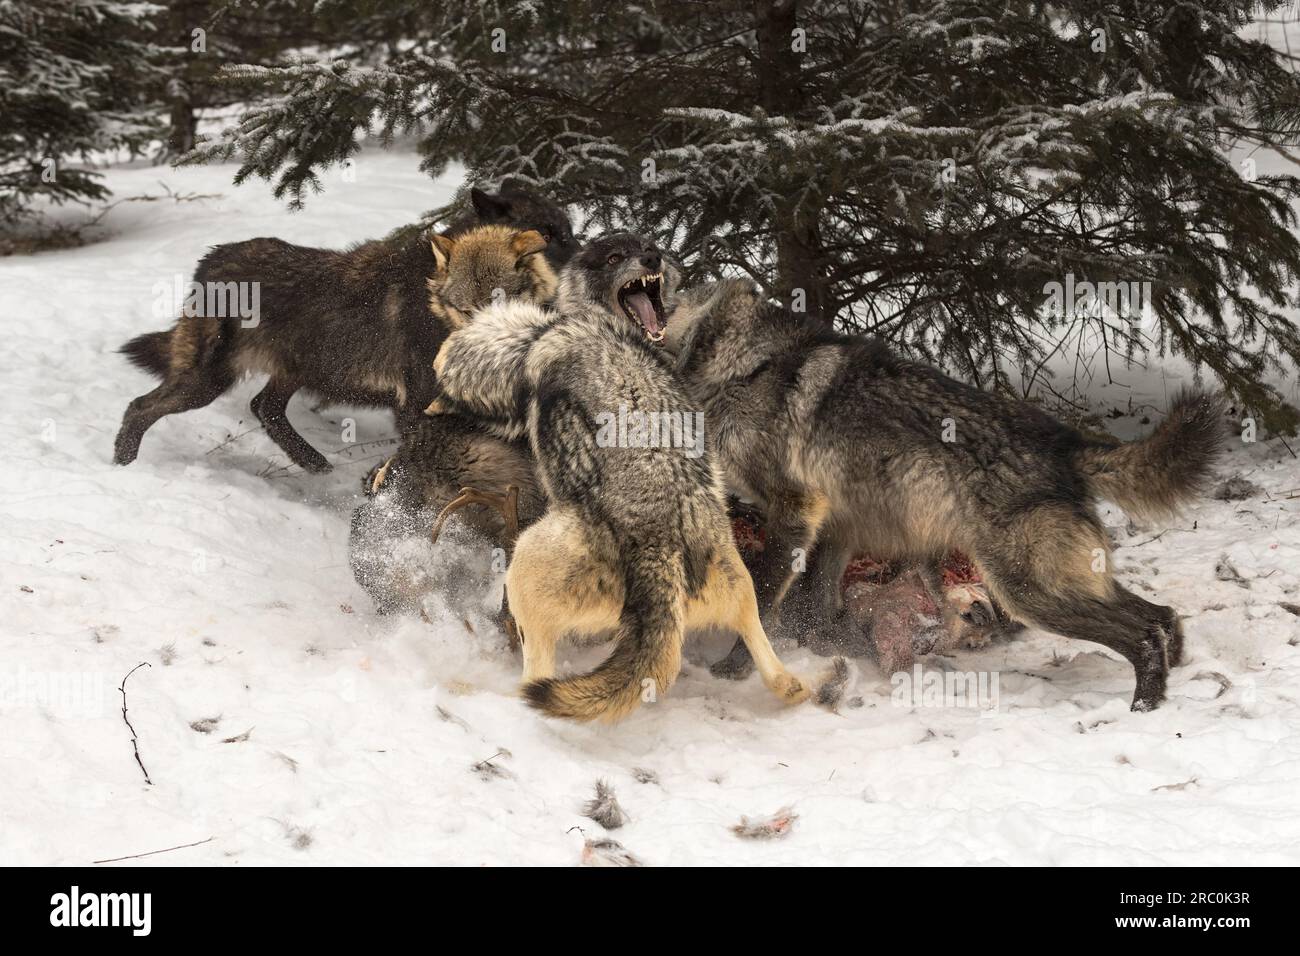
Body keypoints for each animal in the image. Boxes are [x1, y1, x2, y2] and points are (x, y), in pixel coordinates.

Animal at [113, 186, 571, 474]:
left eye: (566, 231)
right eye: (551, 235)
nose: (588, 257)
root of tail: (211, 258)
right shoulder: (415, 408)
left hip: (295, 371)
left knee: (264, 407)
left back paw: (313, 463)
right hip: (206, 382)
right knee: (139, 407)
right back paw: (123, 468)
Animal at [427, 234, 810, 722]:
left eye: (645, 247)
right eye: (614, 256)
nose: (653, 257)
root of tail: (662, 554)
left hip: (524, 565)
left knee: (534, 674)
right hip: (738, 584)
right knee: (767, 651)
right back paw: (794, 687)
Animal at [666, 279, 1225, 711]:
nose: (649, 253)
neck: (748, 362)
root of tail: (1067, 445)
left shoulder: (794, 511)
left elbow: (759, 600)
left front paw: (737, 668)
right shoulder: (836, 527)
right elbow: (816, 603)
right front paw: (825, 646)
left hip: (1030, 595)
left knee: (1141, 635)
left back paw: (1145, 708)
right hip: (1063, 585)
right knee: (1160, 617)